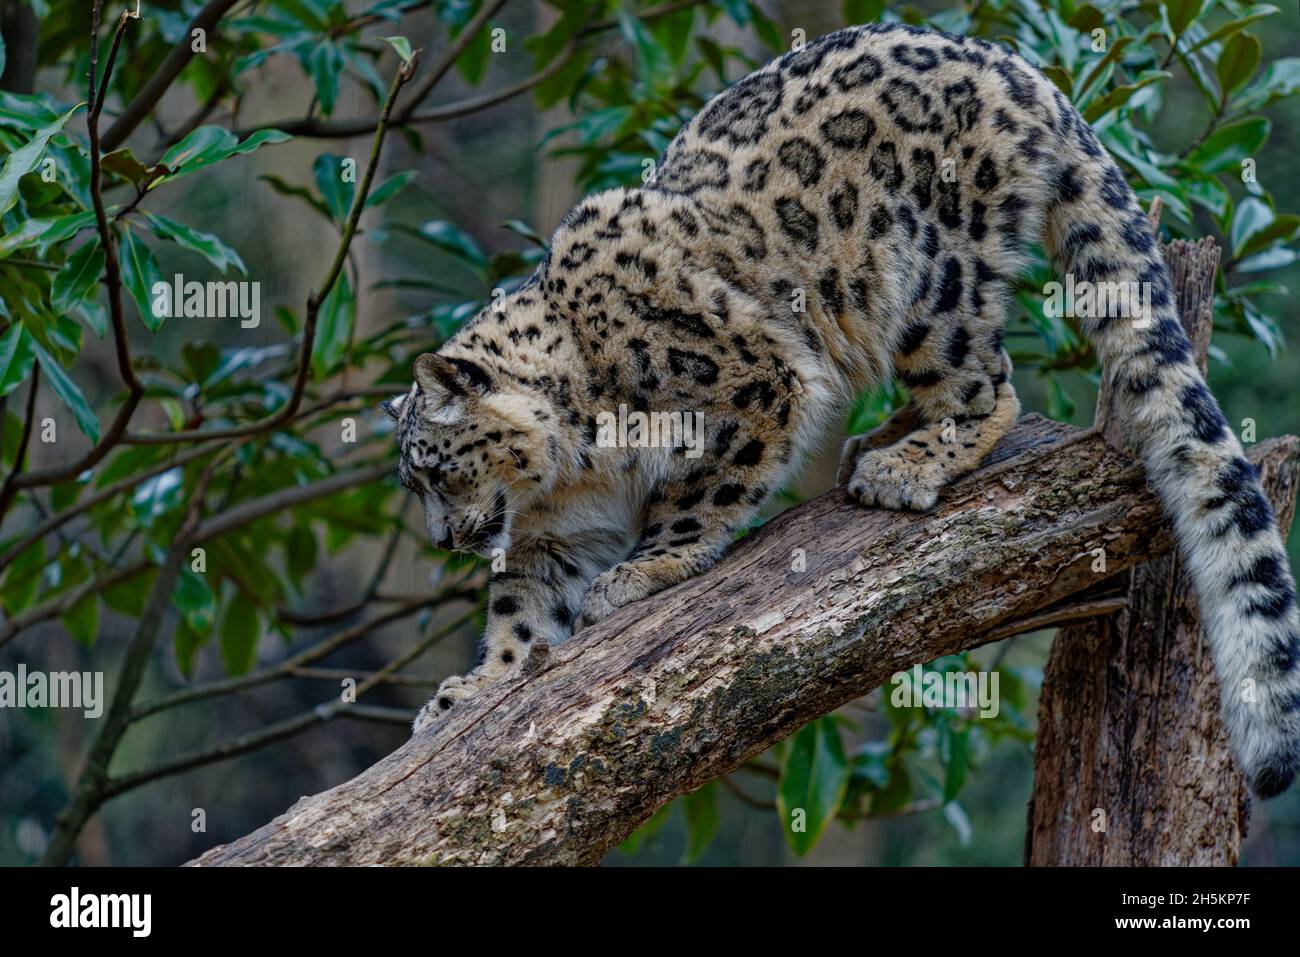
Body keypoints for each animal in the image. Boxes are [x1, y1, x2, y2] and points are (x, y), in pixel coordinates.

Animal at [384, 22, 1300, 797]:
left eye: (434, 468)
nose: (445, 537)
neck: (571, 471)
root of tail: (1016, 67)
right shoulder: (552, 532)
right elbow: (522, 610)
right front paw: (473, 689)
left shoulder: (755, 382)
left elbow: (702, 493)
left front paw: (646, 569)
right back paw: (877, 441)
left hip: (931, 283)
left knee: (989, 385)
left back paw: (903, 465)